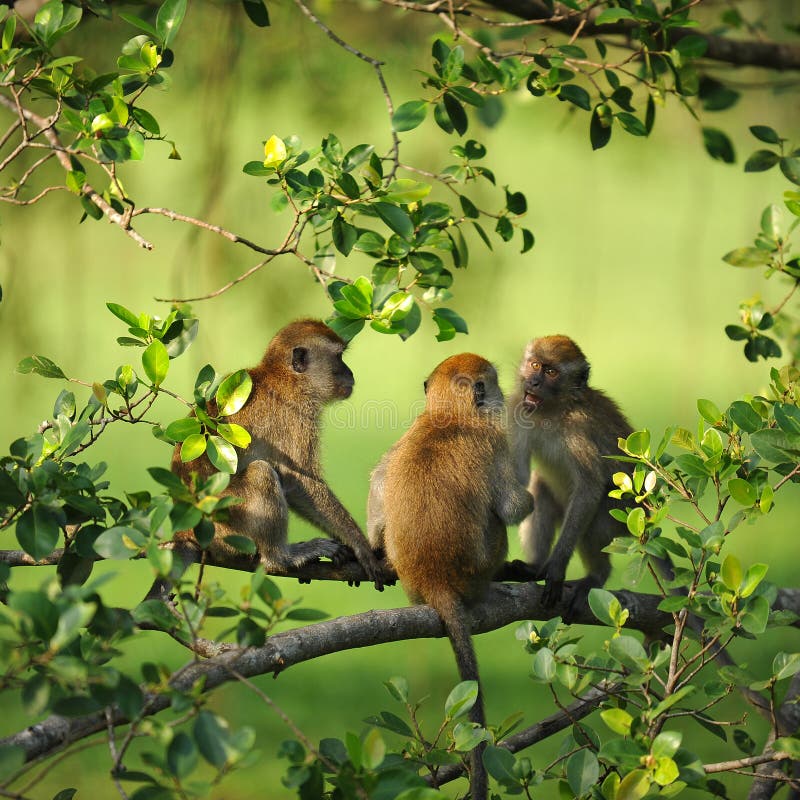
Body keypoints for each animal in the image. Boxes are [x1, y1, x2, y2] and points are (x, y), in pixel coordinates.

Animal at [171, 319, 386, 590]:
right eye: (339, 357)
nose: (350, 373)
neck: (288, 378)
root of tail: (187, 532)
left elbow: (296, 488)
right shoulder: (297, 416)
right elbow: (303, 480)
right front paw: (361, 547)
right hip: (227, 527)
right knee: (261, 472)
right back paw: (281, 557)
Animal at [368, 354, 534, 800]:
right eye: (489, 384)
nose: (497, 394)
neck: (446, 417)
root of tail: (434, 578)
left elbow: (379, 487)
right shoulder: (493, 442)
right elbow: (513, 508)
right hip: (477, 568)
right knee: (497, 523)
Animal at [508, 335, 633, 611]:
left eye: (551, 372)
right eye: (535, 365)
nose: (533, 382)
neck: (552, 411)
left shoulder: (579, 429)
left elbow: (589, 488)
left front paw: (556, 568)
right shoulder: (517, 410)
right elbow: (519, 479)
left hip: (624, 517)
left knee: (596, 517)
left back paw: (596, 576)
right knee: (539, 489)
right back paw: (534, 566)